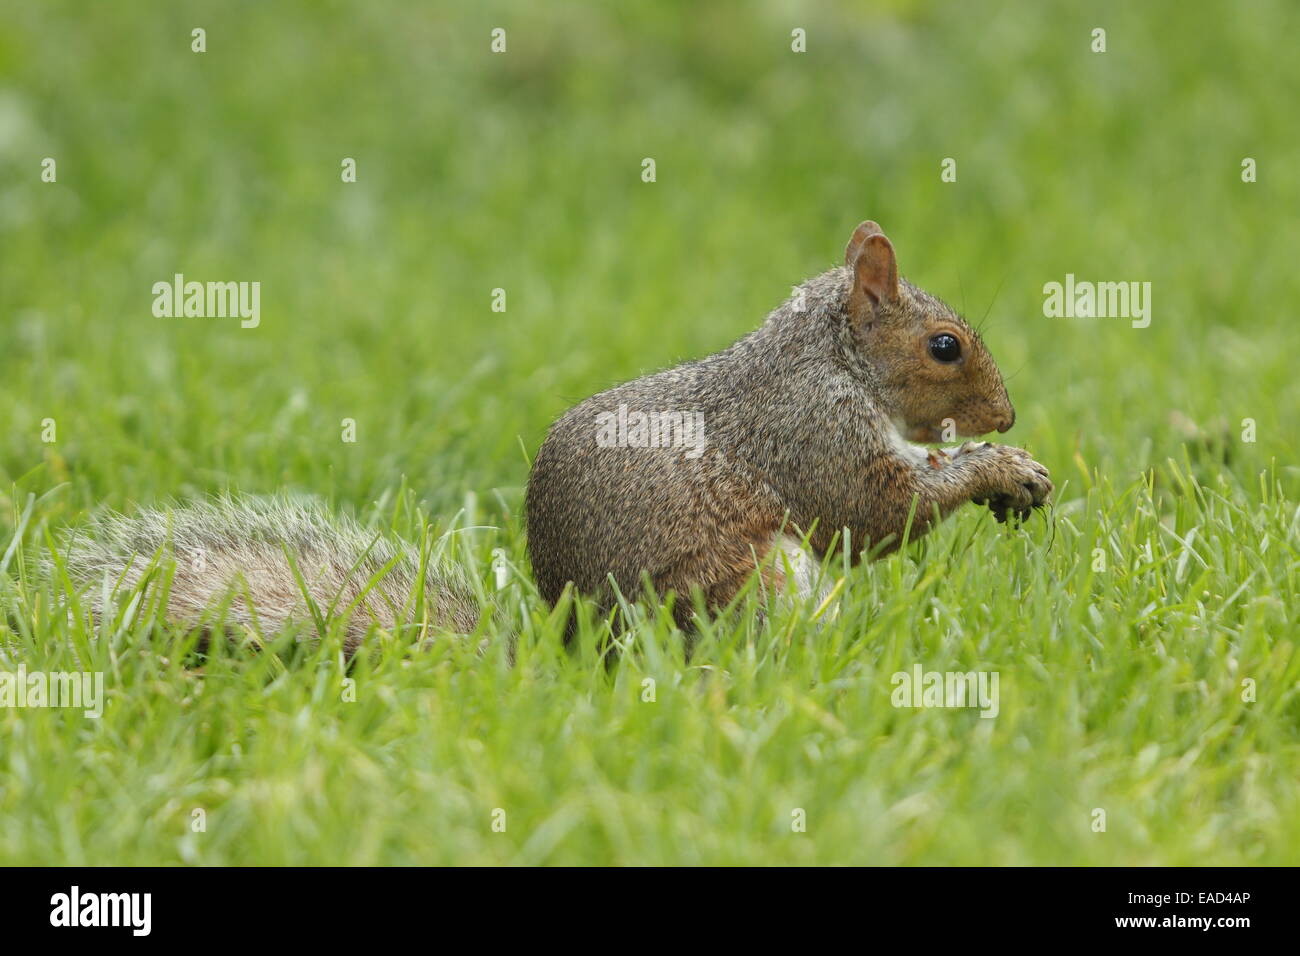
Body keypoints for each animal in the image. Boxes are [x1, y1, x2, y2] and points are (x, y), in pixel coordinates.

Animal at [525, 221, 1053, 630]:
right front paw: (999, 468)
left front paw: (1006, 464)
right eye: (945, 346)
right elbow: (877, 513)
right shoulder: (814, 427)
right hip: (747, 580)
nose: (1005, 418)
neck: (834, 360)